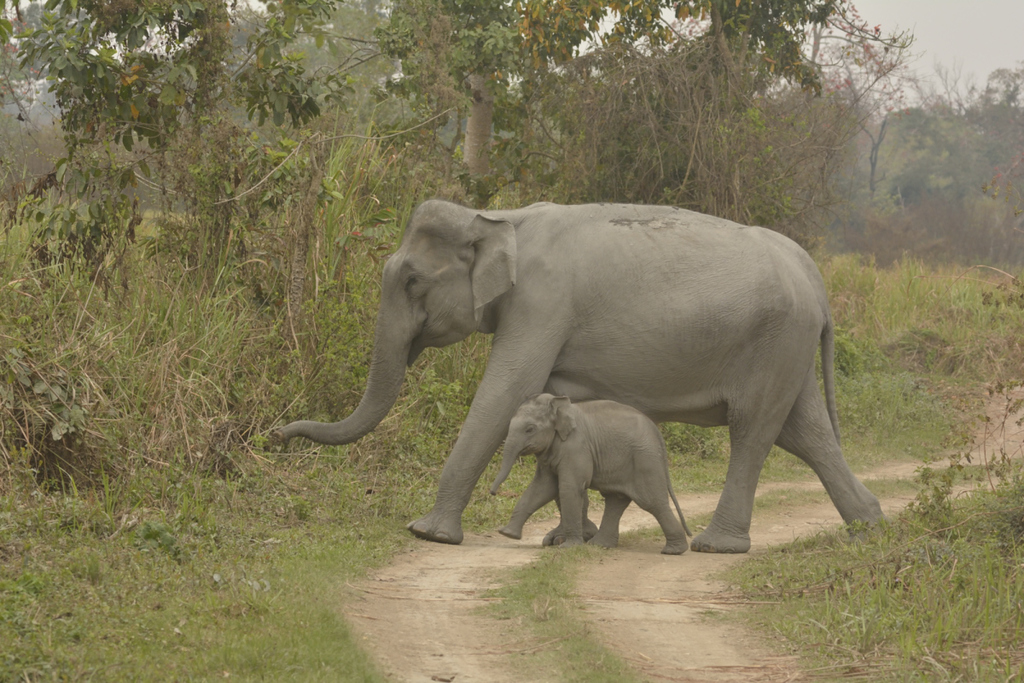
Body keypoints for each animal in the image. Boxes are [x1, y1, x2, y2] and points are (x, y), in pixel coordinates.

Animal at [490, 394, 692, 555]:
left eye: (530, 429)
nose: (492, 492)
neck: (558, 404)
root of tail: (657, 433)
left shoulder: (577, 447)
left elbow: (569, 488)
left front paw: (568, 548)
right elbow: (542, 488)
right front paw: (507, 533)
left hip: (645, 460)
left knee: (652, 502)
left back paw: (673, 551)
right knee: (616, 500)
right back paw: (600, 545)